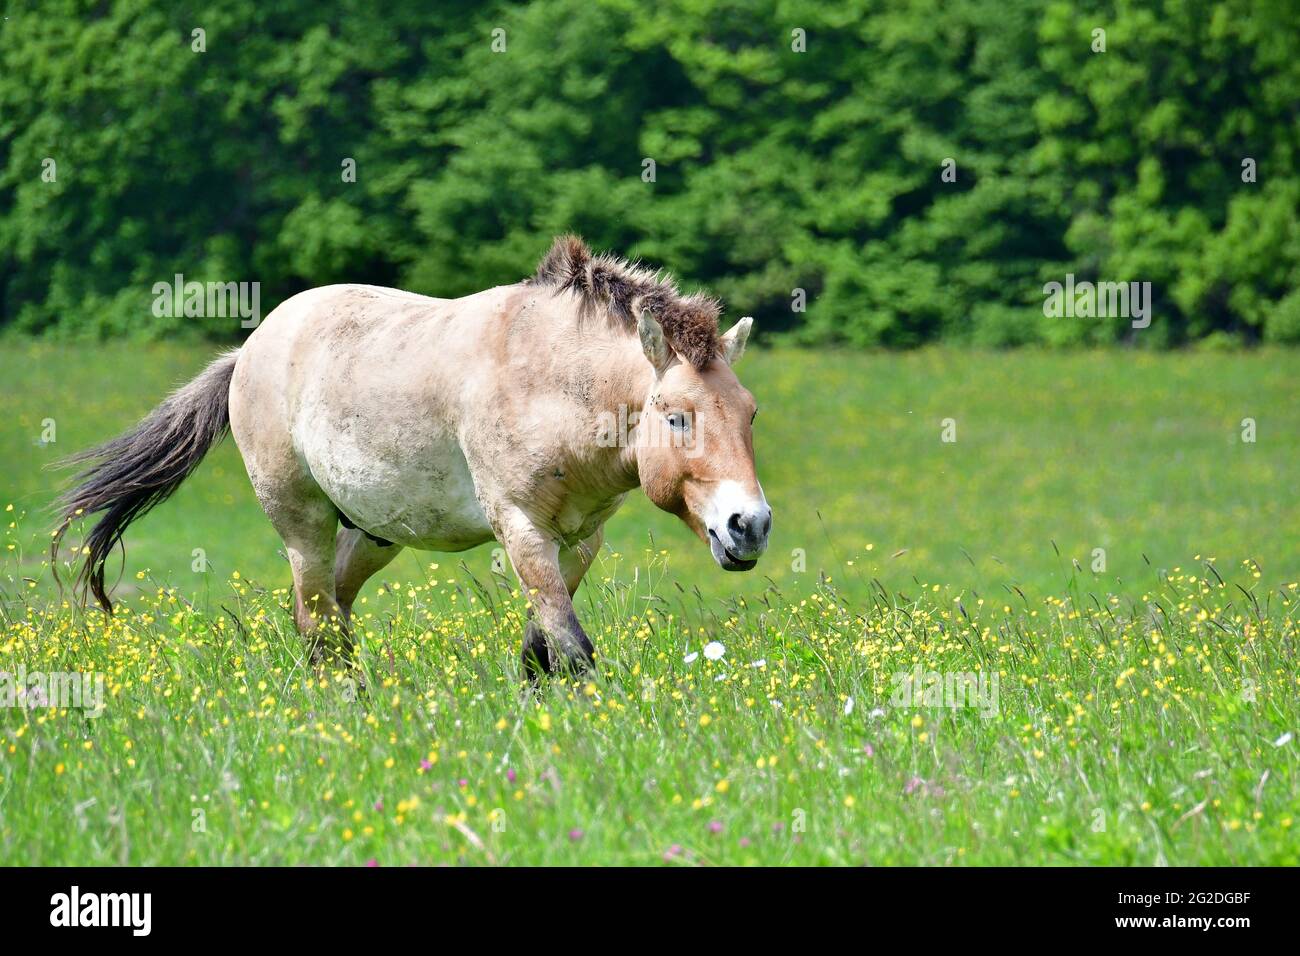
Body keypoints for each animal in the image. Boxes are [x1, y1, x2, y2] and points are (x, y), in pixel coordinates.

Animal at [53, 235, 772, 675]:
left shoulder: (580, 541)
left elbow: (541, 651)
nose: (751, 525)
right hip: (303, 527)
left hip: (373, 534)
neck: (546, 378)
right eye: (677, 417)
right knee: (319, 624)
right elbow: (572, 649)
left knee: (331, 618)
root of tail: (249, 350)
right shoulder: (523, 529)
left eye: (750, 414)